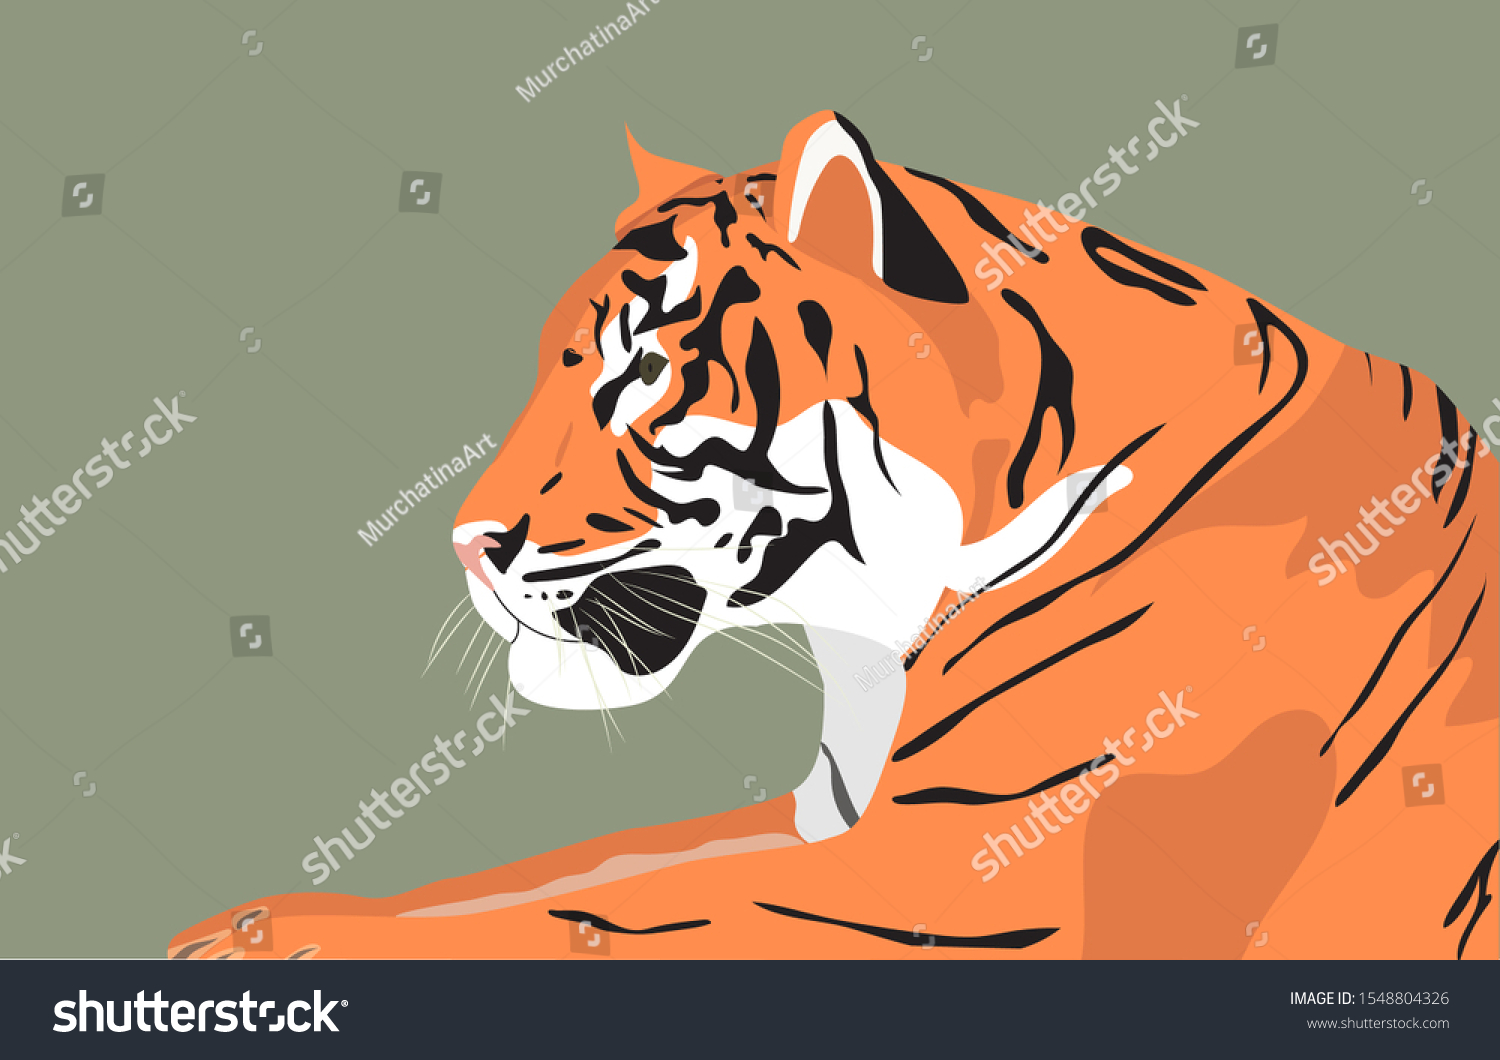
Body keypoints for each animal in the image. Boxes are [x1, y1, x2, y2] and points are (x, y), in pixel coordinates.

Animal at [171, 110, 1497, 959]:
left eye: (641, 374)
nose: (465, 542)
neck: (864, 639)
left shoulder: (961, 876)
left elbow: (589, 918)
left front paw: (258, 955)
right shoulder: (823, 819)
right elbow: (568, 872)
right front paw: (237, 924)